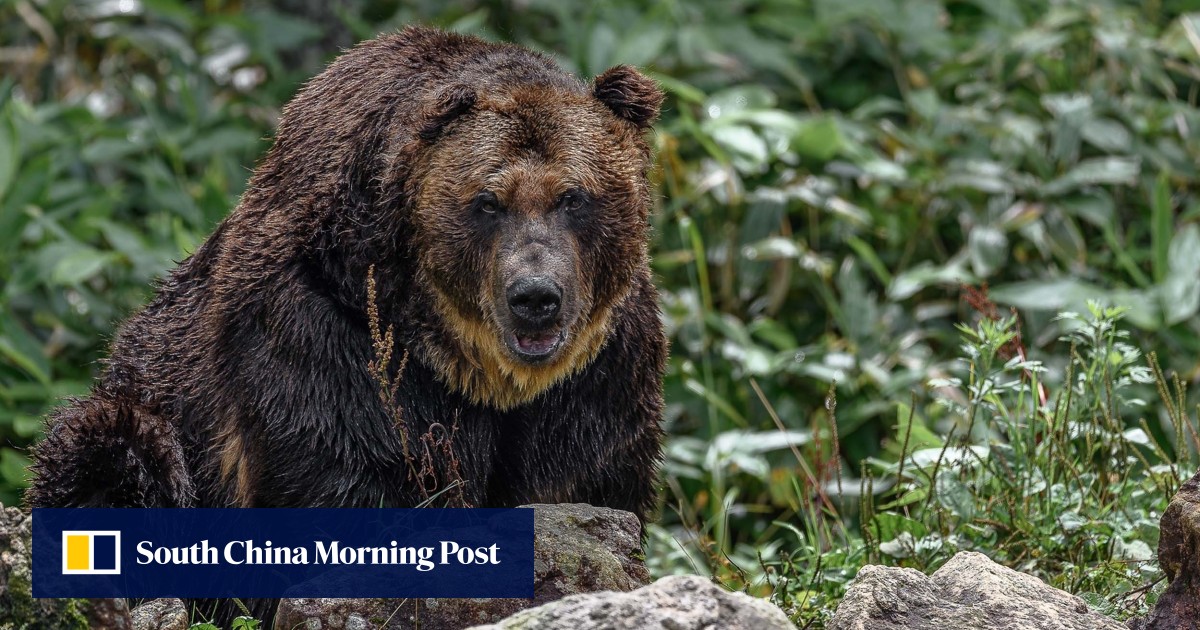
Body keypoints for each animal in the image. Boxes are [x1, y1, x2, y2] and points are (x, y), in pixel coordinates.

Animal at [26, 26, 666, 625]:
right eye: (488, 202)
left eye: (573, 197)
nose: (536, 297)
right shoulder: (323, 330)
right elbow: (345, 478)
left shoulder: (599, 369)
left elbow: (579, 483)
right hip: (156, 402)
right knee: (120, 454)